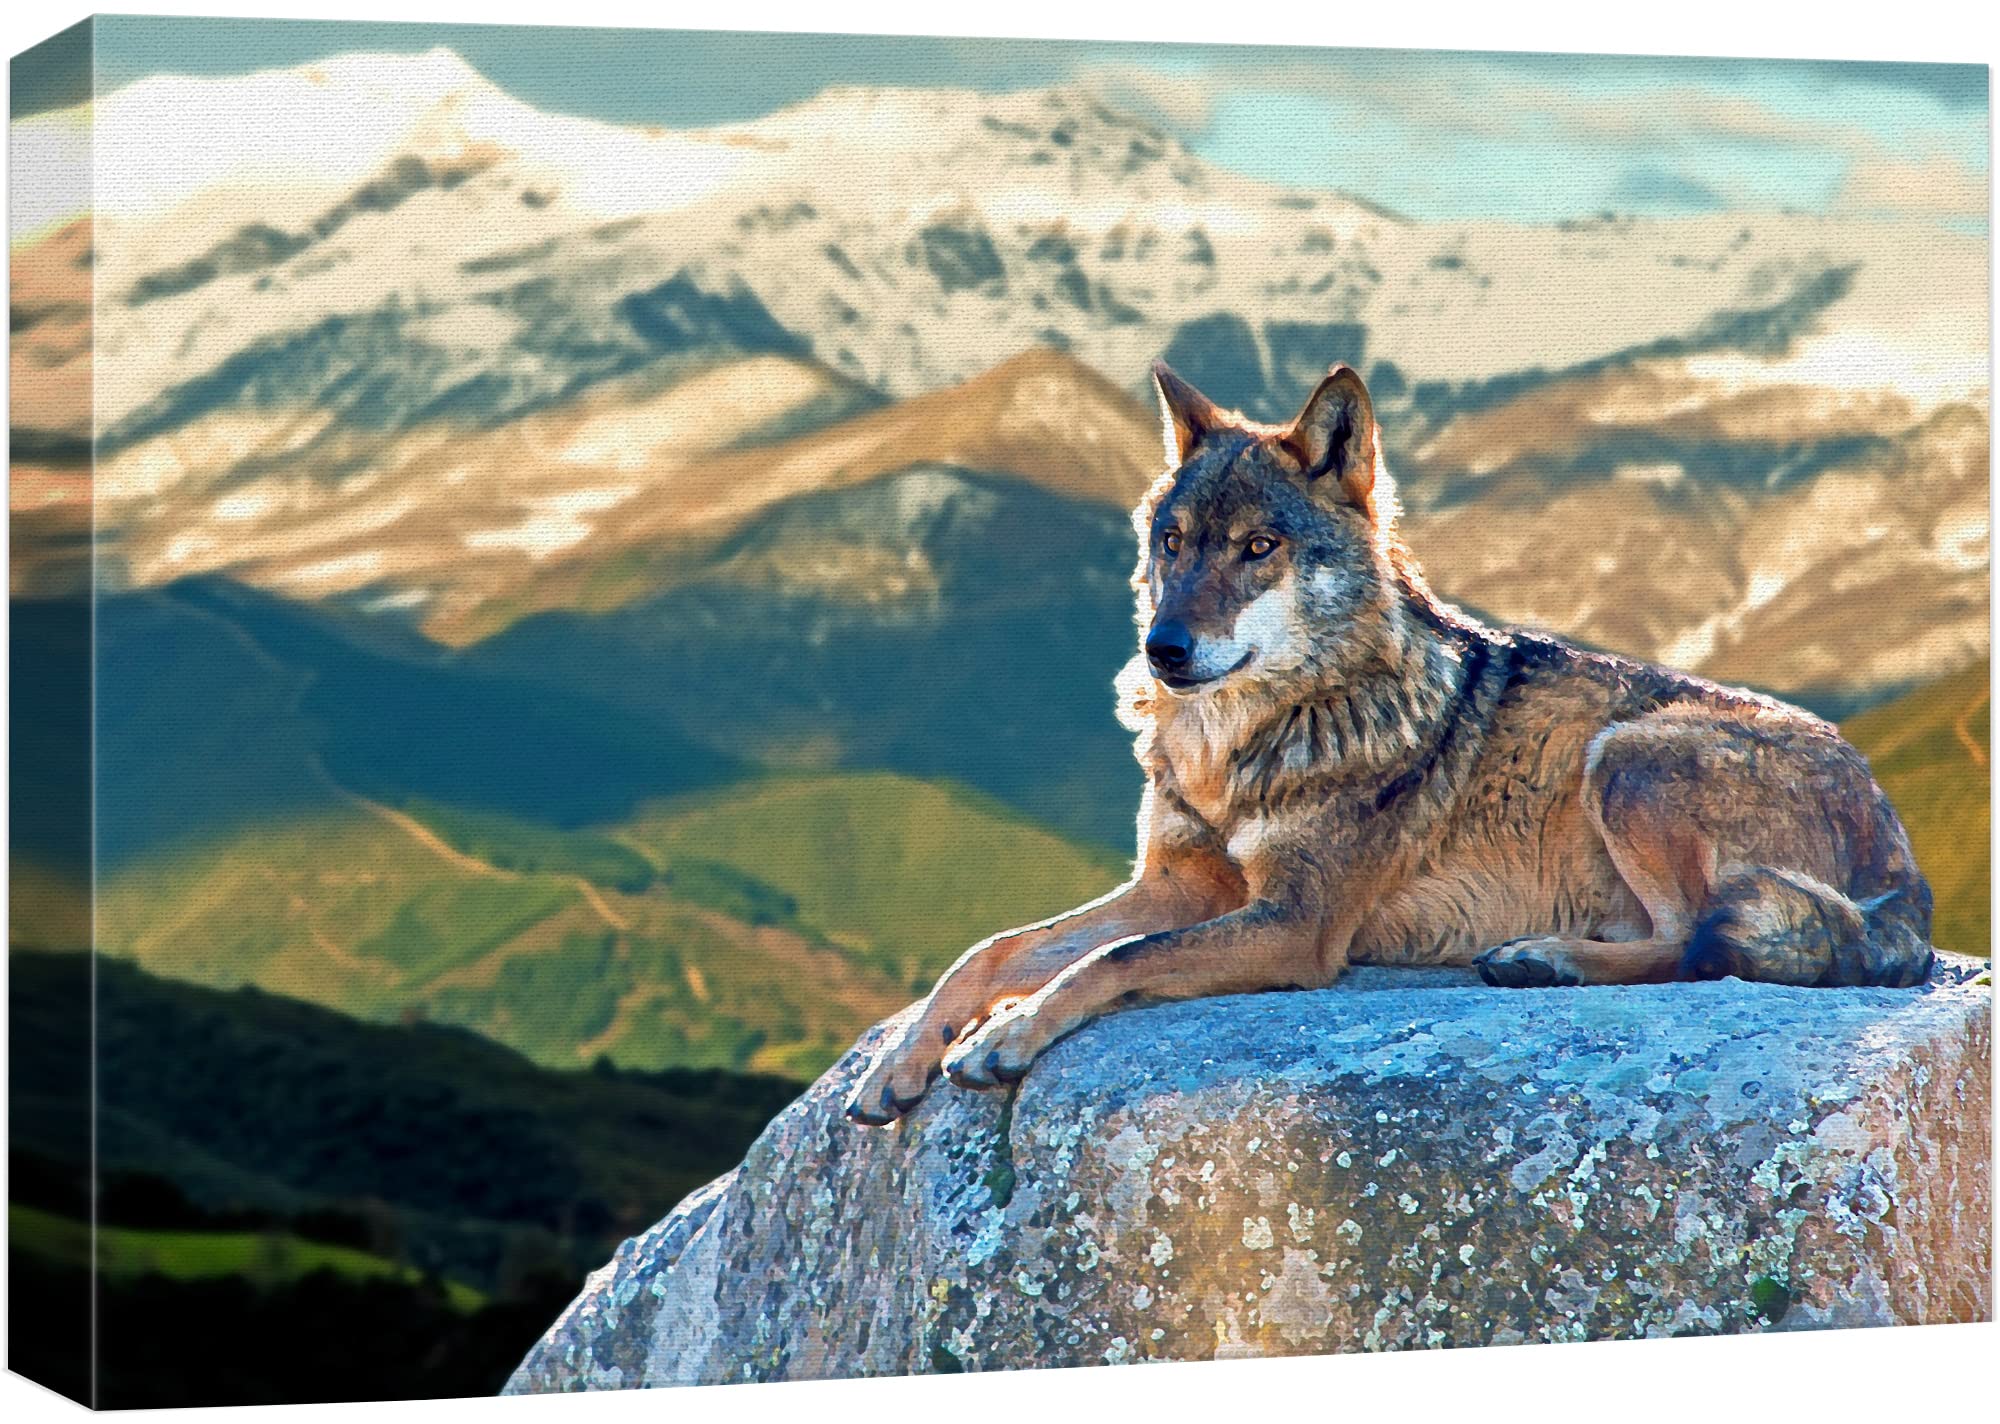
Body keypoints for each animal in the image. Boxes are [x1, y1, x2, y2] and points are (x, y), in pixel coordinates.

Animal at [845, 360, 1934, 1126]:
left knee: (1700, 943)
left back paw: (1542, 958)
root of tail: (1902, 859)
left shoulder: (1295, 923)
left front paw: (1008, 1032)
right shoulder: (1182, 883)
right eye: (1173, 542)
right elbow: (998, 947)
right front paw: (903, 1057)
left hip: (1627, 754)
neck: (1240, 747)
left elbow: (1109, 960)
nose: (1163, 649)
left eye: (1259, 548)